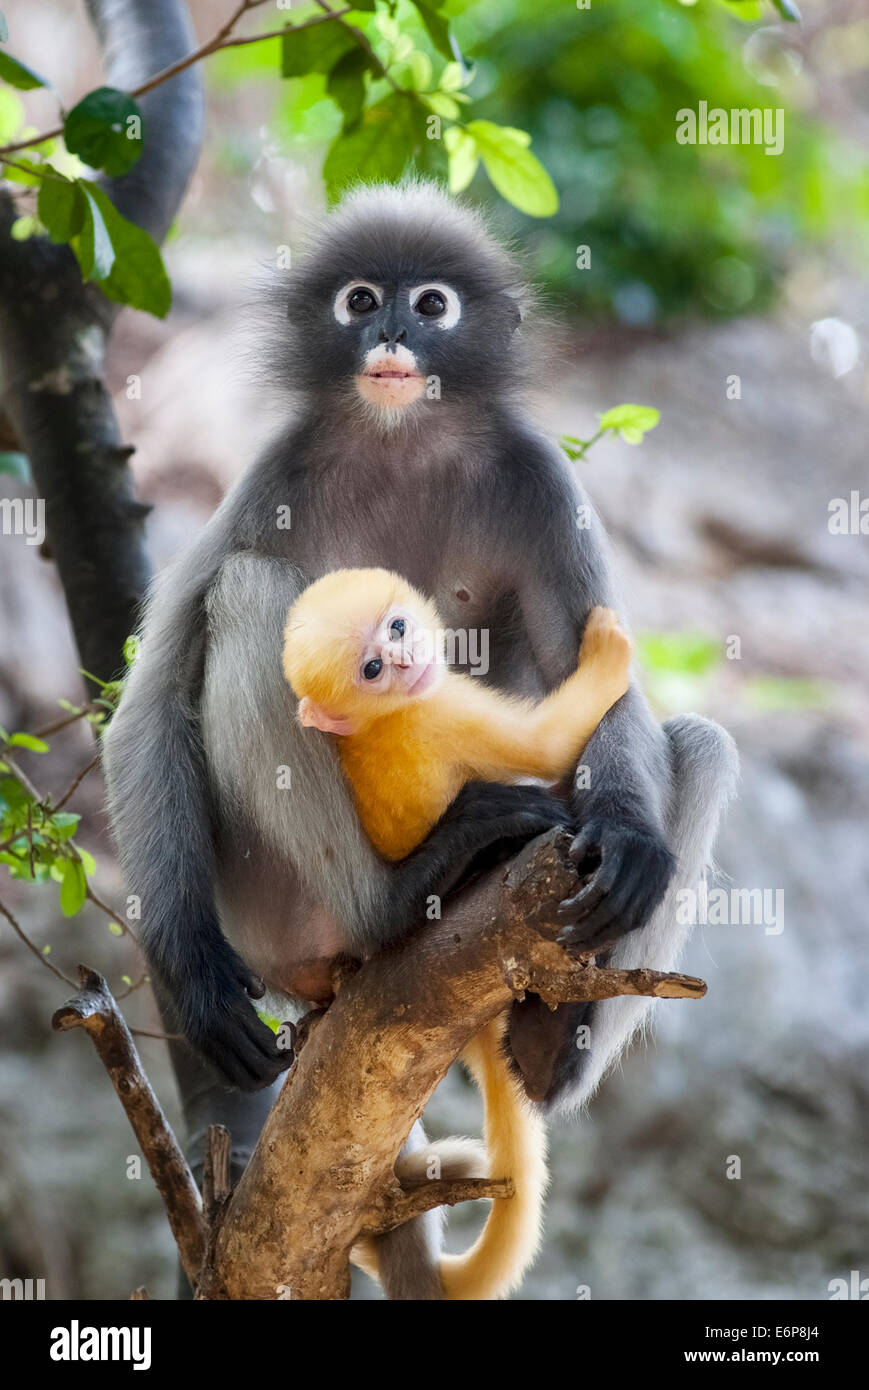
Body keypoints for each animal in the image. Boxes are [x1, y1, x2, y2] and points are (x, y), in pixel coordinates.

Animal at [285, 567, 631, 1301]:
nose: (408, 658)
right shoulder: (441, 712)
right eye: (371, 670)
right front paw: (608, 651)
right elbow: (543, 748)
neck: (383, 720)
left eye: (393, 628)